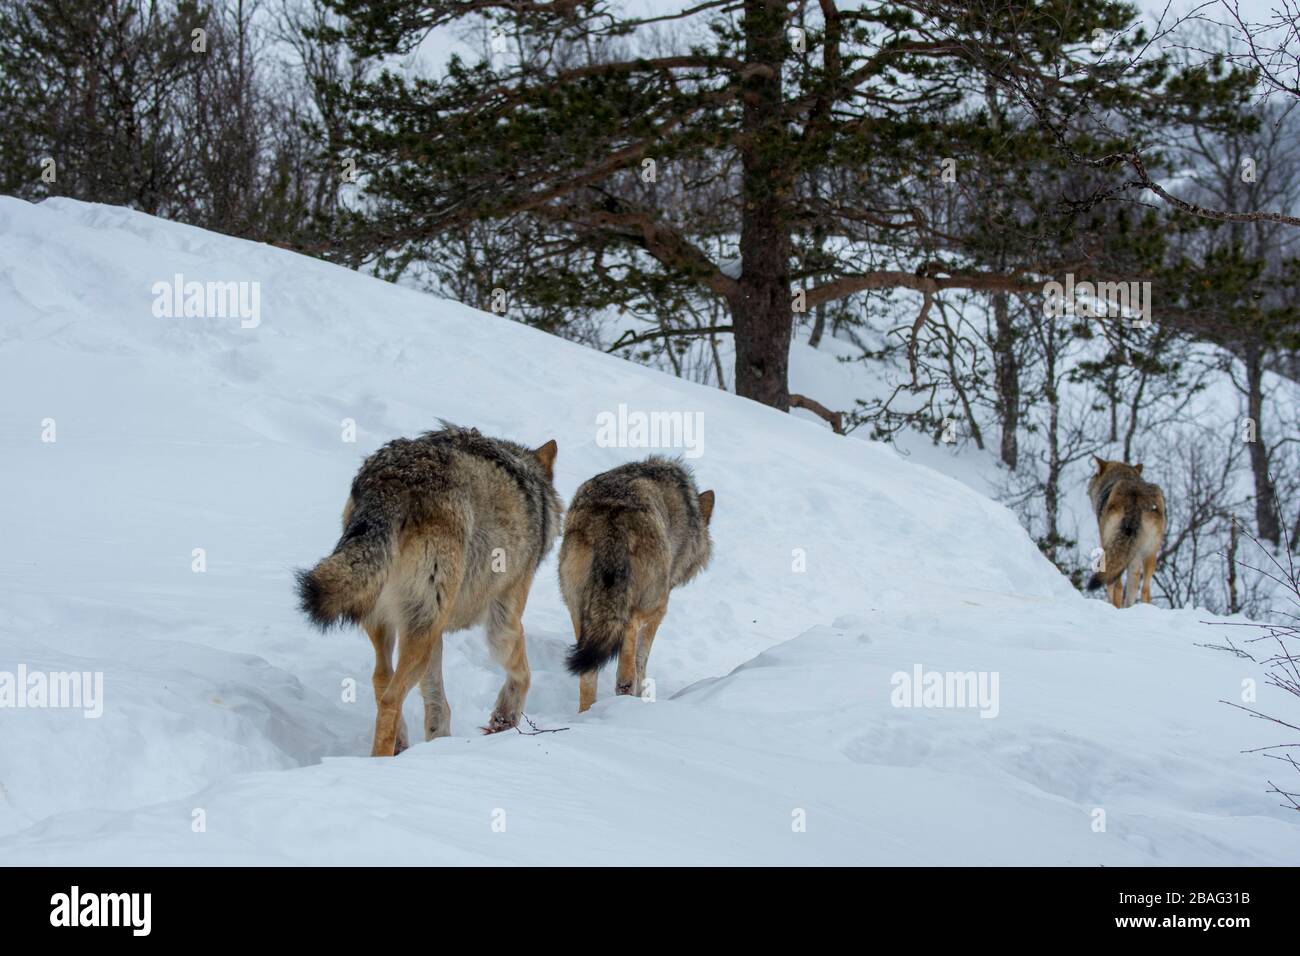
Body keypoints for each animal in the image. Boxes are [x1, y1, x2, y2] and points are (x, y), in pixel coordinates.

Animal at [296, 424, 562, 756]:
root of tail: (392, 480)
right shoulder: (505, 617)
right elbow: (522, 674)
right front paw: (503, 720)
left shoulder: (435, 633)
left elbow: (436, 702)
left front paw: (439, 741)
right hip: (423, 625)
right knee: (391, 696)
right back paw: (379, 760)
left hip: (396, 621)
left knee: (380, 679)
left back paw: (399, 745)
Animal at [558, 457, 713, 712]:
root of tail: (611, 519)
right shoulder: (658, 612)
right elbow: (642, 659)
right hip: (655, 602)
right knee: (629, 628)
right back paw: (625, 689)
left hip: (578, 610)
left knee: (588, 673)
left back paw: (586, 715)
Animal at [1086, 456, 1166, 608]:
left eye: (1094, 475)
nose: (1087, 490)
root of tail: (1135, 497)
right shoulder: (1135, 559)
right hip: (1150, 553)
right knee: (1145, 591)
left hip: (1112, 550)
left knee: (1117, 585)